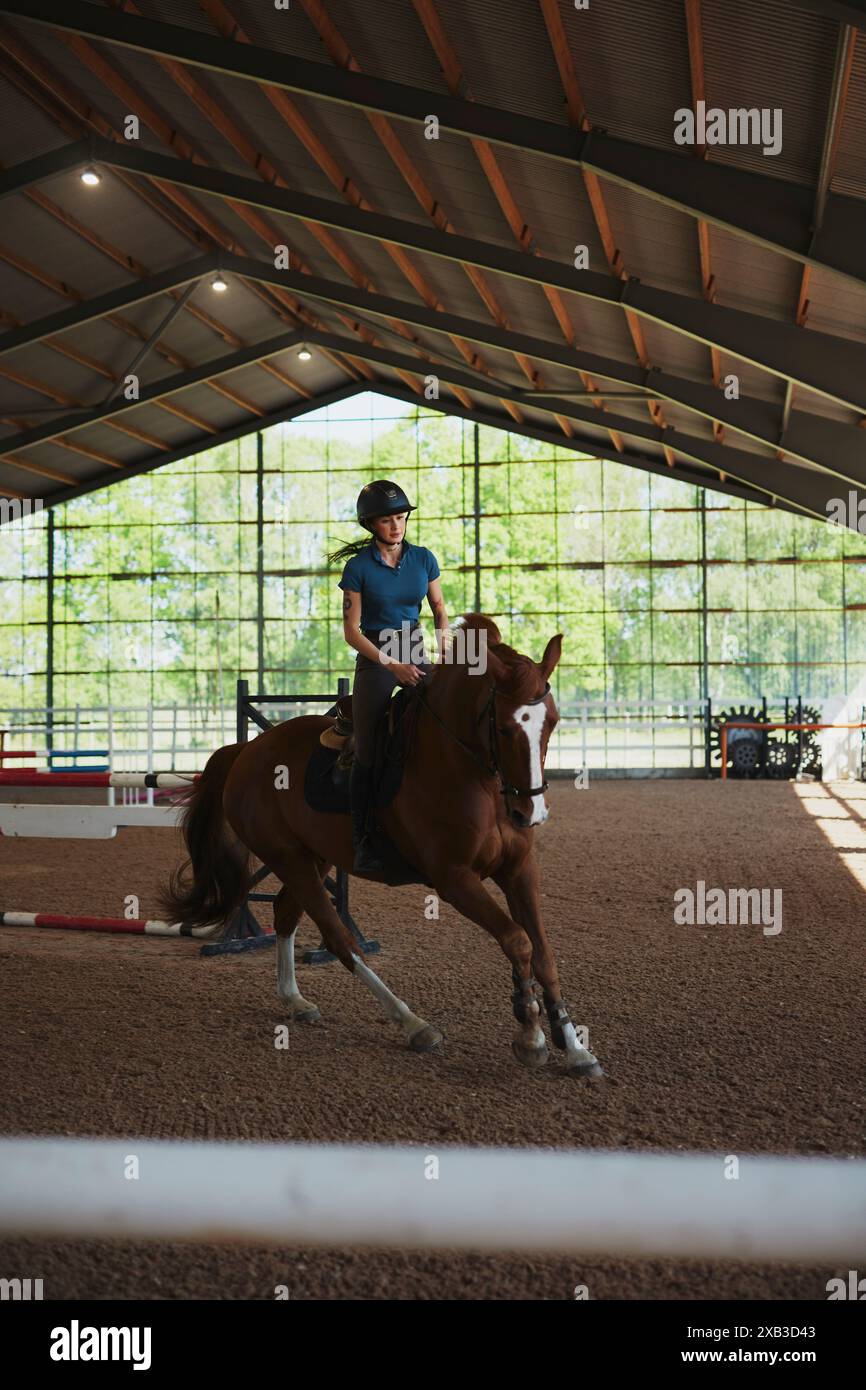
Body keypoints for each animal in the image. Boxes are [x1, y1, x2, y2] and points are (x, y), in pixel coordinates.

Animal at [160, 614, 603, 1079]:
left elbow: (543, 952)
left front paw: (575, 1048)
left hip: (314, 859)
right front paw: (531, 1033)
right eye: (503, 726)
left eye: (552, 722)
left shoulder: (519, 869)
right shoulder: (454, 879)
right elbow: (517, 940)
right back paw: (413, 1024)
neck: (472, 774)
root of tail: (245, 751)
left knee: (285, 914)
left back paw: (295, 1000)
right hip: (288, 858)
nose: (528, 811)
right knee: (341, 941)